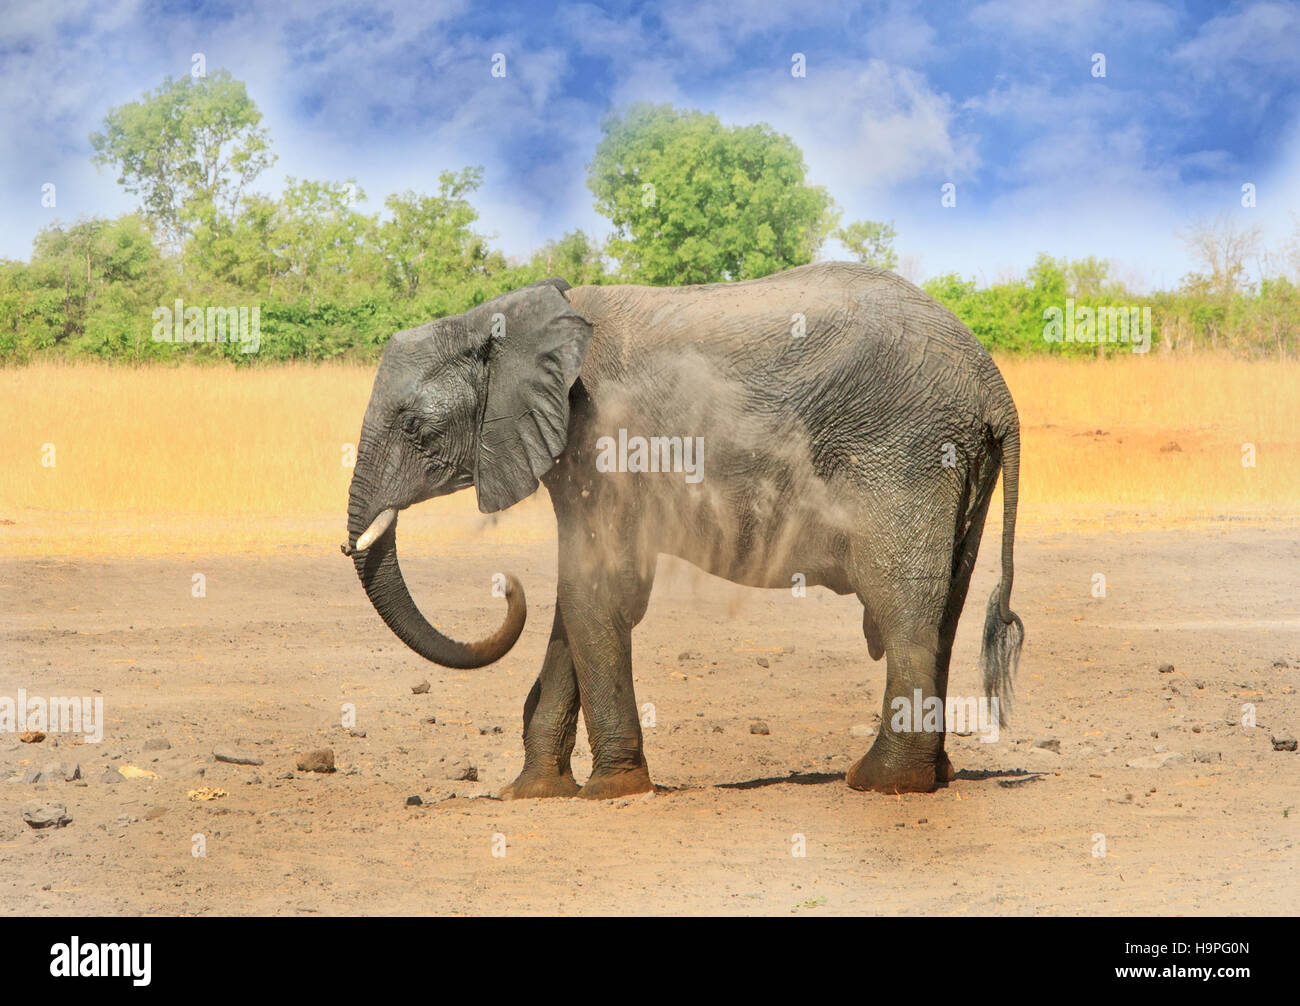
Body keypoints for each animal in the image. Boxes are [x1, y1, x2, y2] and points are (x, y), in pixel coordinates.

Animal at [342, 261, 1024, 799]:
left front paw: (611, 790)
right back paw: (933, 776)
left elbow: (597, 591)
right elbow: (579, 600)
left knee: (900, 602)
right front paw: (530, 793)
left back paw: (879, 782)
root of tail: (993, 384)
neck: (505, 318)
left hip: (906, 452)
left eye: (414, 428)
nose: (506, 586)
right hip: (959, 465)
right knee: (946, 607)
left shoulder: (602, 441)